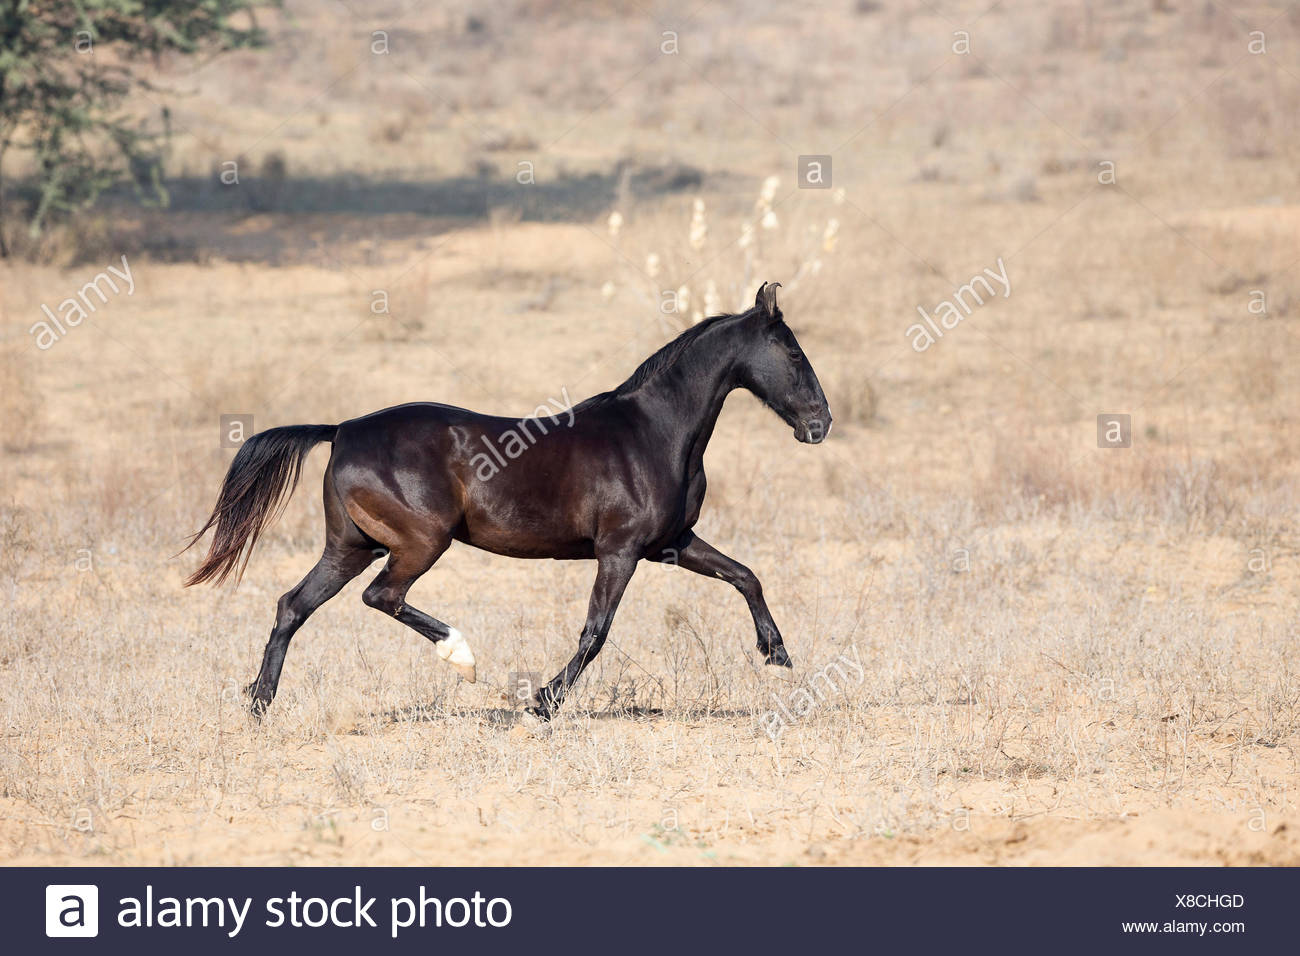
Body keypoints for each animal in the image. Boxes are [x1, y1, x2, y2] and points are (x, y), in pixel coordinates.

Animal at [185, 281, 832, 720]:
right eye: (794, 354)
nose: (820, 425)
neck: (653, 432)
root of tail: (343, 429)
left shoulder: (672, 543)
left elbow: (745, 575)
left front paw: (776, 654)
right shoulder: (620, 551)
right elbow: (595, 631)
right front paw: (542, 702)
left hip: (350, 546)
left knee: (292, 606)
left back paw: (259, 704)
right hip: (420, 542)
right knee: (381, 596)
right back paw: (462, 658)